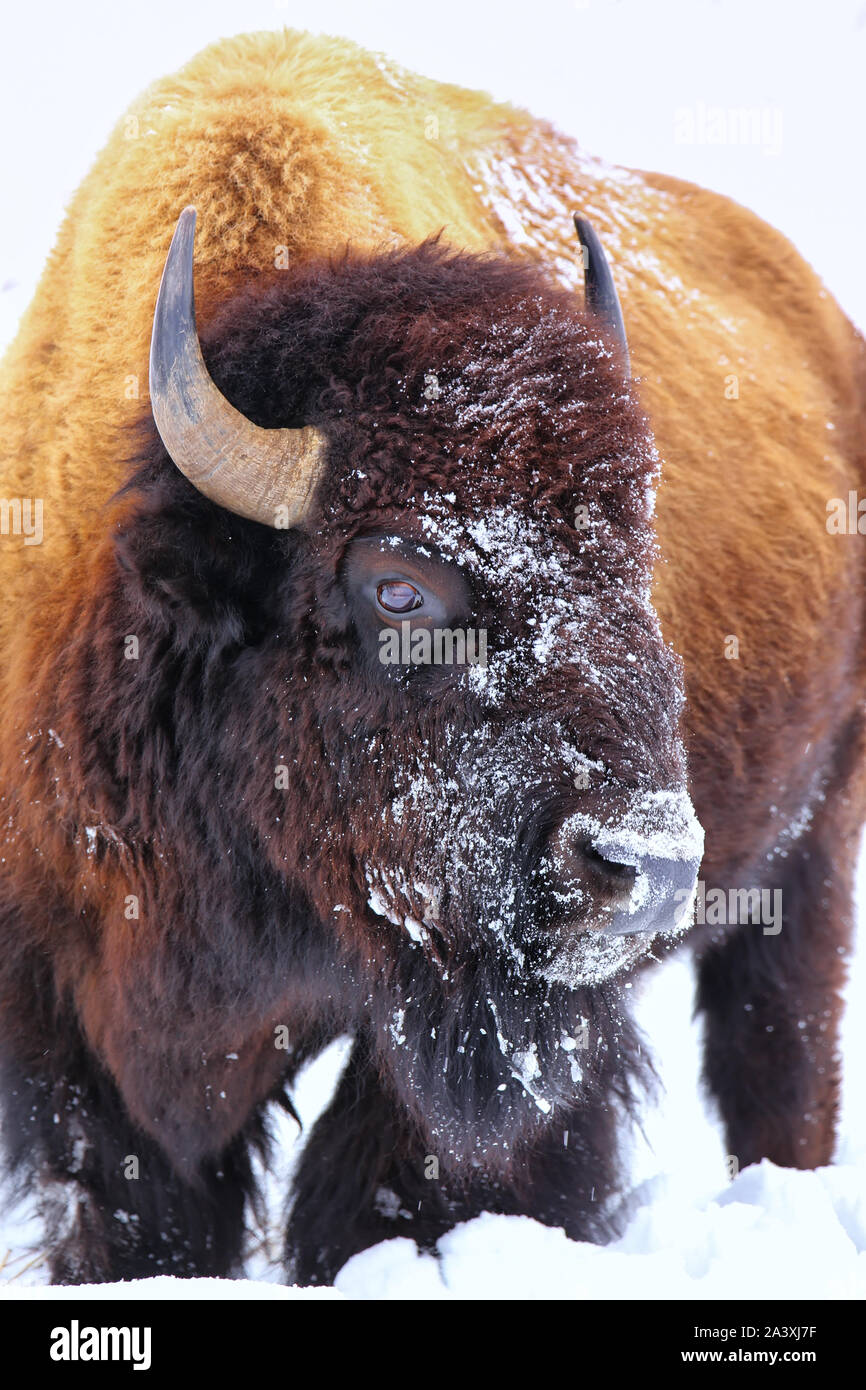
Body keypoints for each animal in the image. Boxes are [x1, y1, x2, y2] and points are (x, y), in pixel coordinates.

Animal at [0, 29, 864, 1287]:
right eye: (397, 583)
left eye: (635, 548)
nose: (646, 864)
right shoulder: (74, 1010)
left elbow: (389, 1179)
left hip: (811, 851)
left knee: (777, 1059)